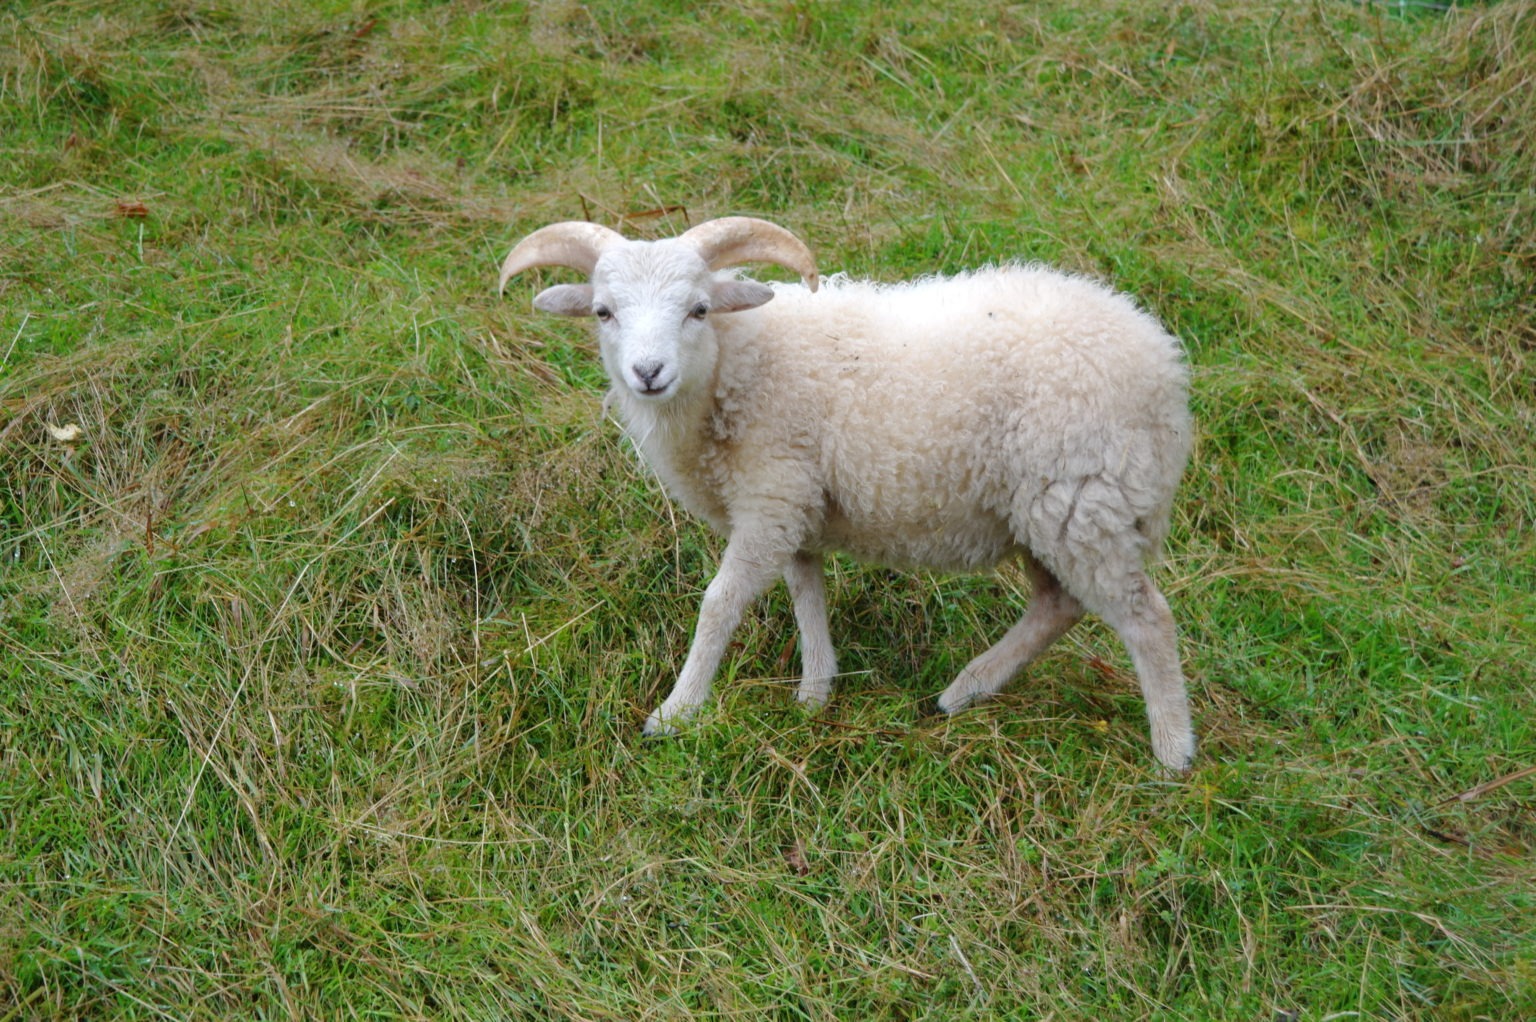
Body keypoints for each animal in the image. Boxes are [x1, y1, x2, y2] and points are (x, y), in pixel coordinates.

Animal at [499, 216, 1197, 773]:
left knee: (1146, 618)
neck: (739, 364)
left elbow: (720, 604)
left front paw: (677, 712)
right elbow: (806, 591)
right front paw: (816, 691)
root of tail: (1163, 362)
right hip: (1046, 510)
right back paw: (966, 690)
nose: (648, 373)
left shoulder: (772, 497)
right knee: (1059, 605)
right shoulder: (796, 506)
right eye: (603, 312)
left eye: (699, 308)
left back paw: (1172, 751)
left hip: (1083, 497)